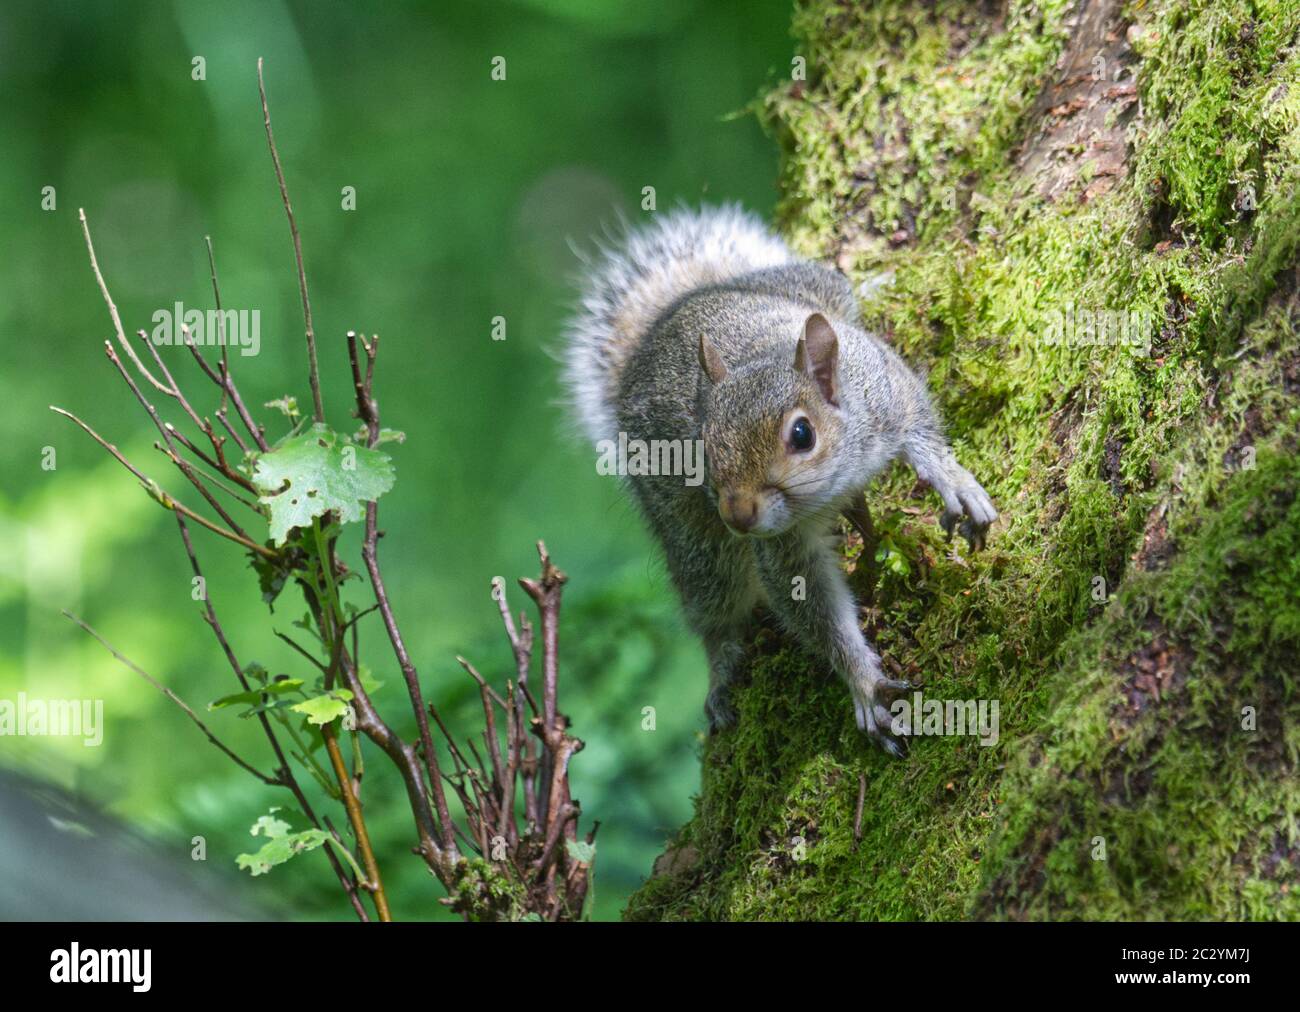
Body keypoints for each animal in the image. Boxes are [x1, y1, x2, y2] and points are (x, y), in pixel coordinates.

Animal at [564, 205, 996, 755]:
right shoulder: (782, 542)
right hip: (695, 542)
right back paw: (721, 668)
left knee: (835, 285)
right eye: (700, 451)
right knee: (714, 610)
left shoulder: (884, 389)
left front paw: (952, 480)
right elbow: (811, 606)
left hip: (803, 285)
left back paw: (876, 283)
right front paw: (864, 683)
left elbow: (920, 422)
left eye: (802, 434)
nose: (738, 514)